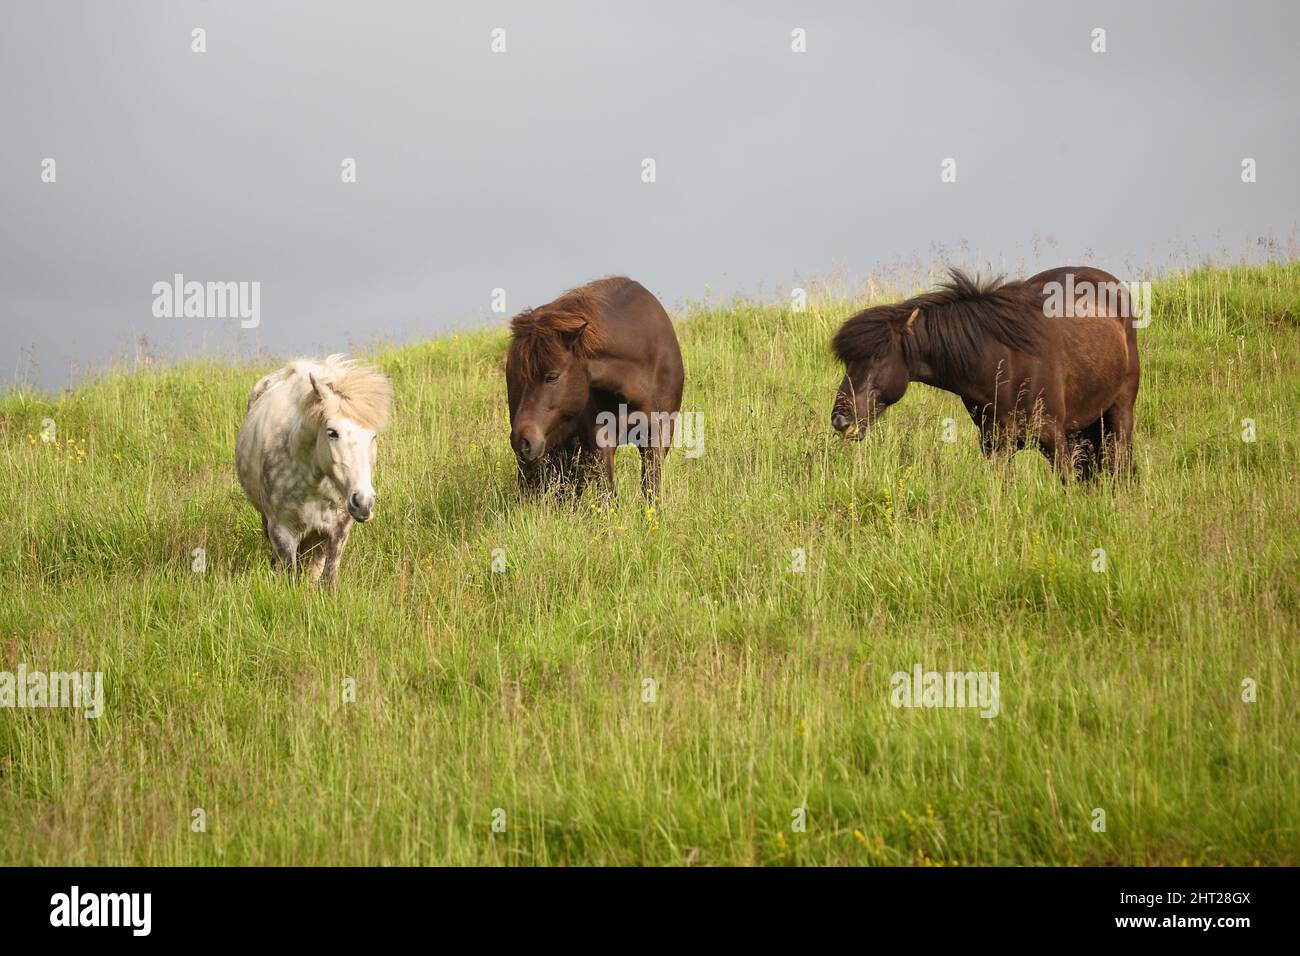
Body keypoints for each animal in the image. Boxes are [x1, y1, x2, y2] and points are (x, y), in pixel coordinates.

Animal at [235, 354, 393, 584]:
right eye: (332, 432)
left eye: (373, 436)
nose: (363, 502)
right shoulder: (283, 534)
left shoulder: (338, 532)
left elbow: (328, 578)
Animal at [506, 276, 685, 501]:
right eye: (520, 377)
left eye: (552, 376)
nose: (523, 441)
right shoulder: (601, 441)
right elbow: (609, 496)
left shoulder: (659, 435)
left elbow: (650, 490)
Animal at [830, 267, 1140, 480]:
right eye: (848, 363)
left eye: (878, 357)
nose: (841, 420)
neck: (1003, 364)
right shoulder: (996, 446)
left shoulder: (1053, 439)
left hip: (1119, 414)